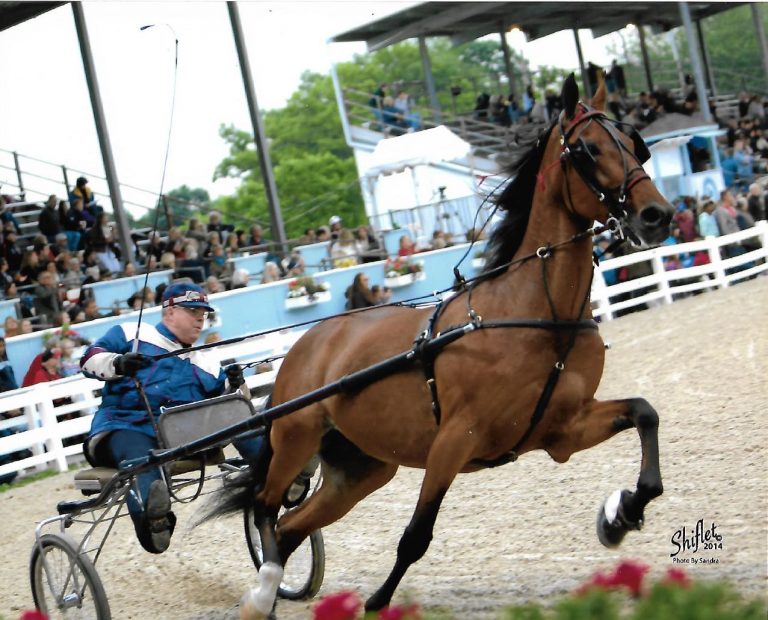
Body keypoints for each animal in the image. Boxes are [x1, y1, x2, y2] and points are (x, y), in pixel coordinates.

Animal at [222, 74, 674, 619]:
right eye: (587, 149)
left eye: (634, 143)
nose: (657, 215)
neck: (539, 318)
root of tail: (306, 343)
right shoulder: (455, 439)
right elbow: (416, 535)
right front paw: (377, 601)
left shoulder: (563, 430)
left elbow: (645, 415)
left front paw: (620, 515)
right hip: (295, 437)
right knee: (266, 509)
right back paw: (262, 591)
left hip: (361, 469)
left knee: (290, 527)